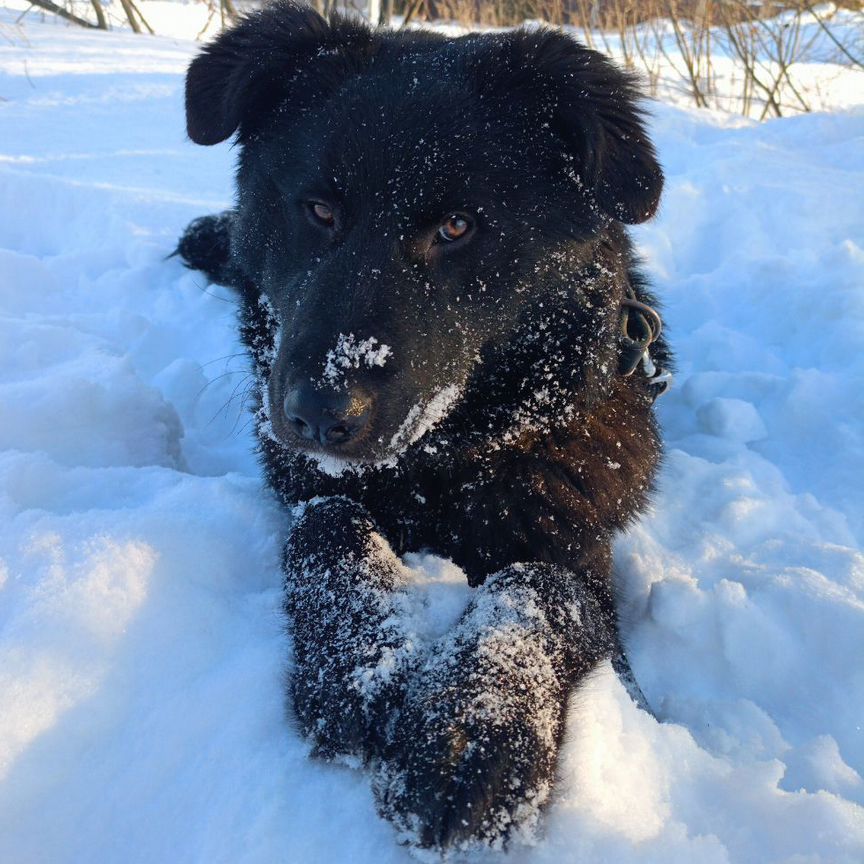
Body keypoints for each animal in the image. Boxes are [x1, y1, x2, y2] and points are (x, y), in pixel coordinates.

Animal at [179, 0, 672, 852]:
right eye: (319, 210)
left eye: (458, 227)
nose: (318, 416)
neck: (445, 468)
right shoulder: (307, 490)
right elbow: (331, 528)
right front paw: (364, 665)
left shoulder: (581, 555)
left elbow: (536, 586)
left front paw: (476, 730)